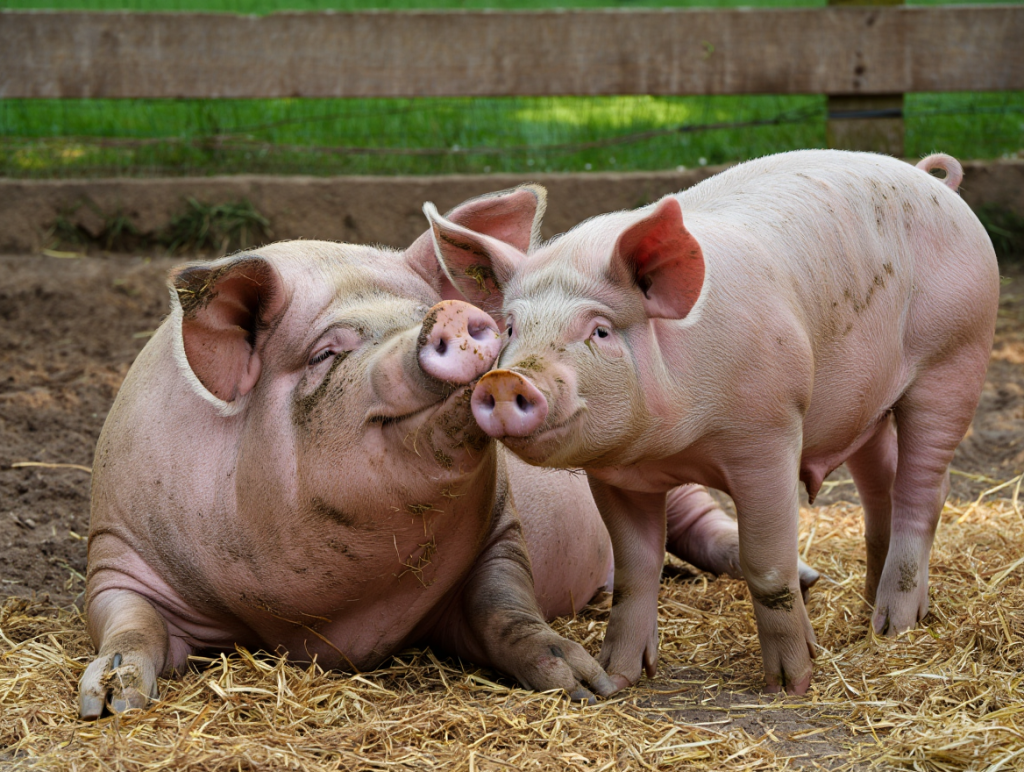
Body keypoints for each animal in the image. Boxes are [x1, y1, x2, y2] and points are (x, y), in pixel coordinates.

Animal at [79, 185, 773, 717]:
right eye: (326, 352)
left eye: (419, 310)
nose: (453, 314)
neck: (327, 623)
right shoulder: (116, 551)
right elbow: (129, 626)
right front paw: (109, 701)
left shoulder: (501, 532)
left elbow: (510, 613)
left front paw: (588, 684)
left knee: (703, 517)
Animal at [423, 150, 1000, 695]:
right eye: (512, 328)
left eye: (601, 331)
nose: (505, 379)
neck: (673, 448)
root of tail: (934, 181)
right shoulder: (615, 476)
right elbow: (634, 569)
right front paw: (619, 678)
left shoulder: (769, 436)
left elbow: (768, 566)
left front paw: (791, 685)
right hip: (869, 408)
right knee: (880, 488)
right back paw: (866, 612)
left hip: (956, 356)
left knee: (922, 489)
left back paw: (895, 627)